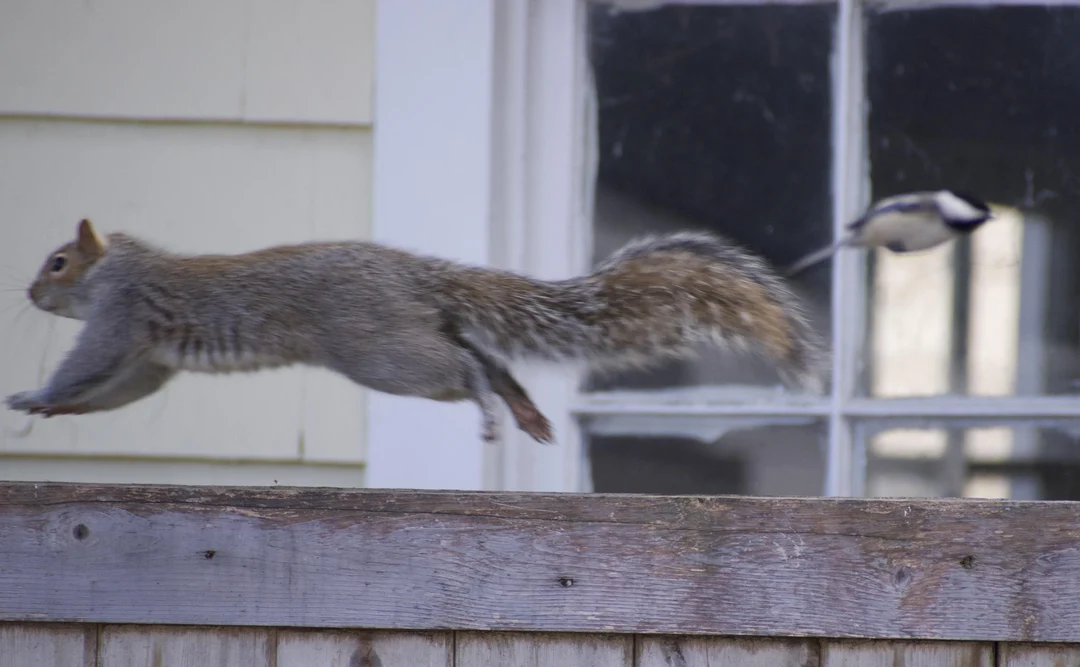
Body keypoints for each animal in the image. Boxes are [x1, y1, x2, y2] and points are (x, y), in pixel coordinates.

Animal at [5, 219, 827, 443]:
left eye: (59, 261)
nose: (31, 292)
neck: (122, 264)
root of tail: (414, 274)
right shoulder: (146, 355)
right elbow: (122, 389)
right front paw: (54, 407)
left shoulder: (121, 315)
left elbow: (90, 363)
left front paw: (33, 396)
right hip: (404, 336)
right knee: (484, 358)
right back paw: (520, 408)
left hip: (380, 352)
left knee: (465, 369)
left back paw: (493, 412)